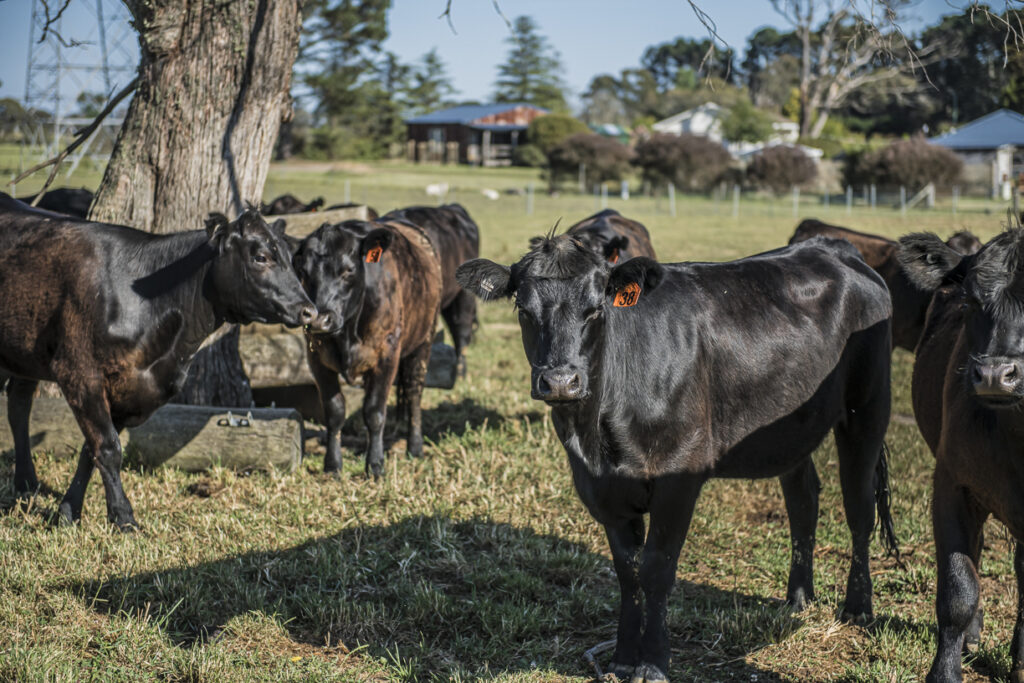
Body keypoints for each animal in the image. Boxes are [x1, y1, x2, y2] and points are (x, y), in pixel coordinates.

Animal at [0, 195, 319, 530]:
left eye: (291, 258)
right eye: (260, 257)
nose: (309, 311)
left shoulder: (131, 389)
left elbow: (91, 450)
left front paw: (68, 511)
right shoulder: (79, 373)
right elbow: (108, 448)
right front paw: (123, 517)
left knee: (19, 408)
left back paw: (26, 483)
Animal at [294, 219, 442, 477]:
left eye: (348, 270)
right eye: (302, 272)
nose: (319, 321)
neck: (348, 332)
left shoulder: (387, 357)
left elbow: (374, 412)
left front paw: (375, 465)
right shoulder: (317, 361)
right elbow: (334, 412)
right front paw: (333, 465)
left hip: (423, 342)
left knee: (414, 394)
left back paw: (415, 448)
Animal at [456, 233, 897, 683]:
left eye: (595, 309)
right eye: (524, 310)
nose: (560, 381)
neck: (596, 437)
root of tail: (832, 246)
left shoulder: (679, 477)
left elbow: (656, 568)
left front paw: (653, 661)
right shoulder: (602, 488)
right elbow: (627, 572)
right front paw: (623, 656)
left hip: (867, 408)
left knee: (860, 509)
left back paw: (857, 608)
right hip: (791, 432)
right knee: (803, 503)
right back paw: (798, 597)